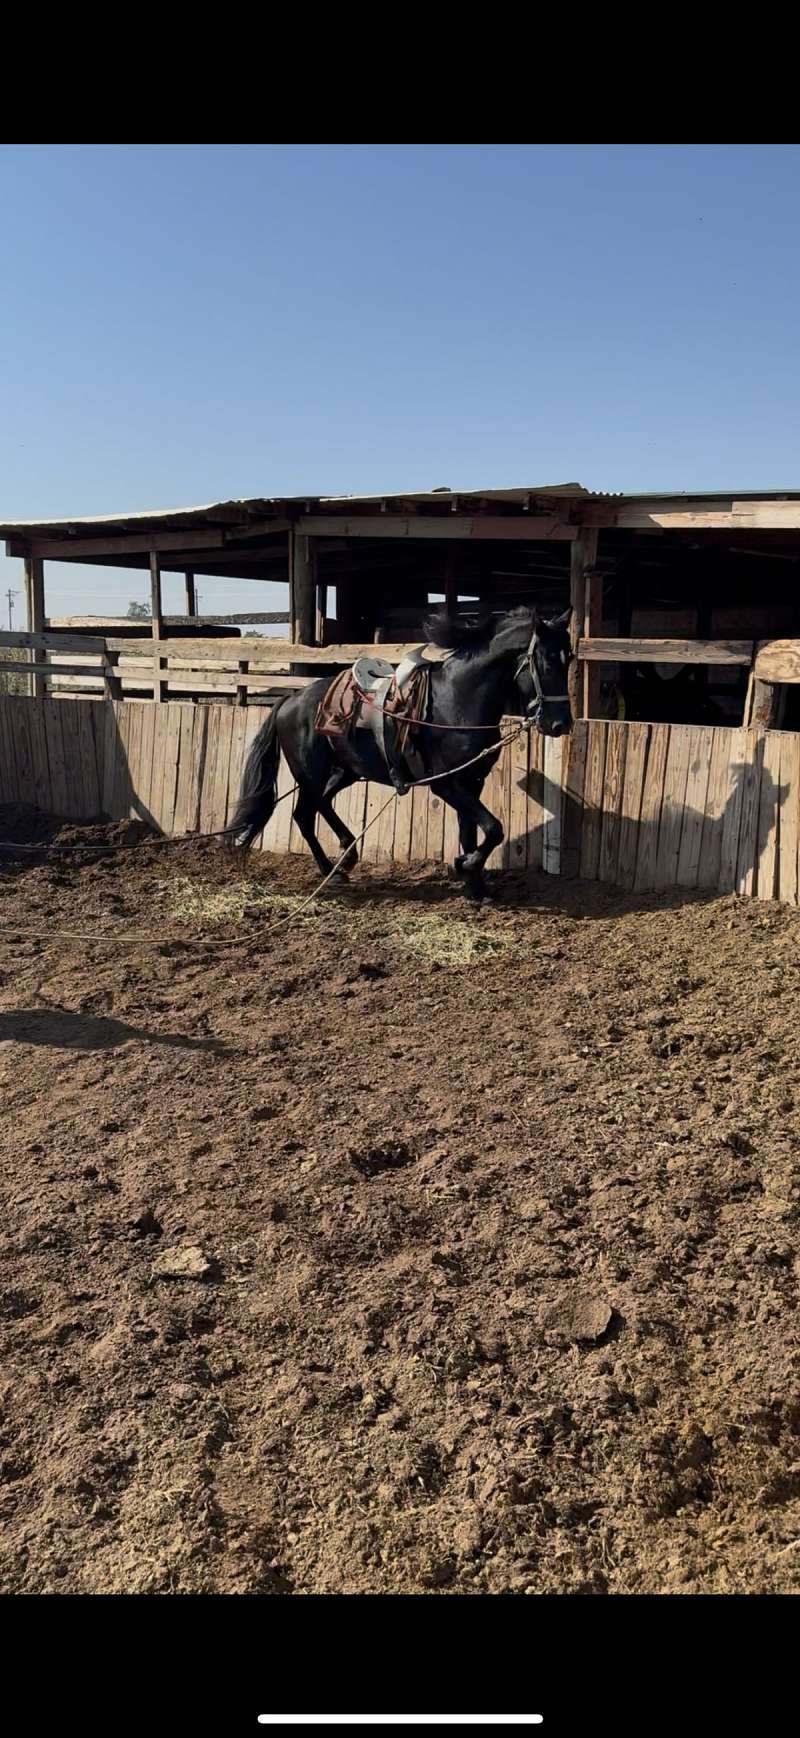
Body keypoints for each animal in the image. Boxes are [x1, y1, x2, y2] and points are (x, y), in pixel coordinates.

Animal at [227, 605, 573, 902]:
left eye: (568, 659)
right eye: (545, 661)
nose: (561, 724)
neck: (456, 701)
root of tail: (290, 700)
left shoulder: (472, 782)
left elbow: (472, 832)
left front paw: (474, 887)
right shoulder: (445, 784)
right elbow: (493, 829)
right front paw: (465, 865)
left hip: (344, 772)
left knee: (315, 808)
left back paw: (342, 861)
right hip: (310, 773)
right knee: (306, 813)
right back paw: (336, 865)